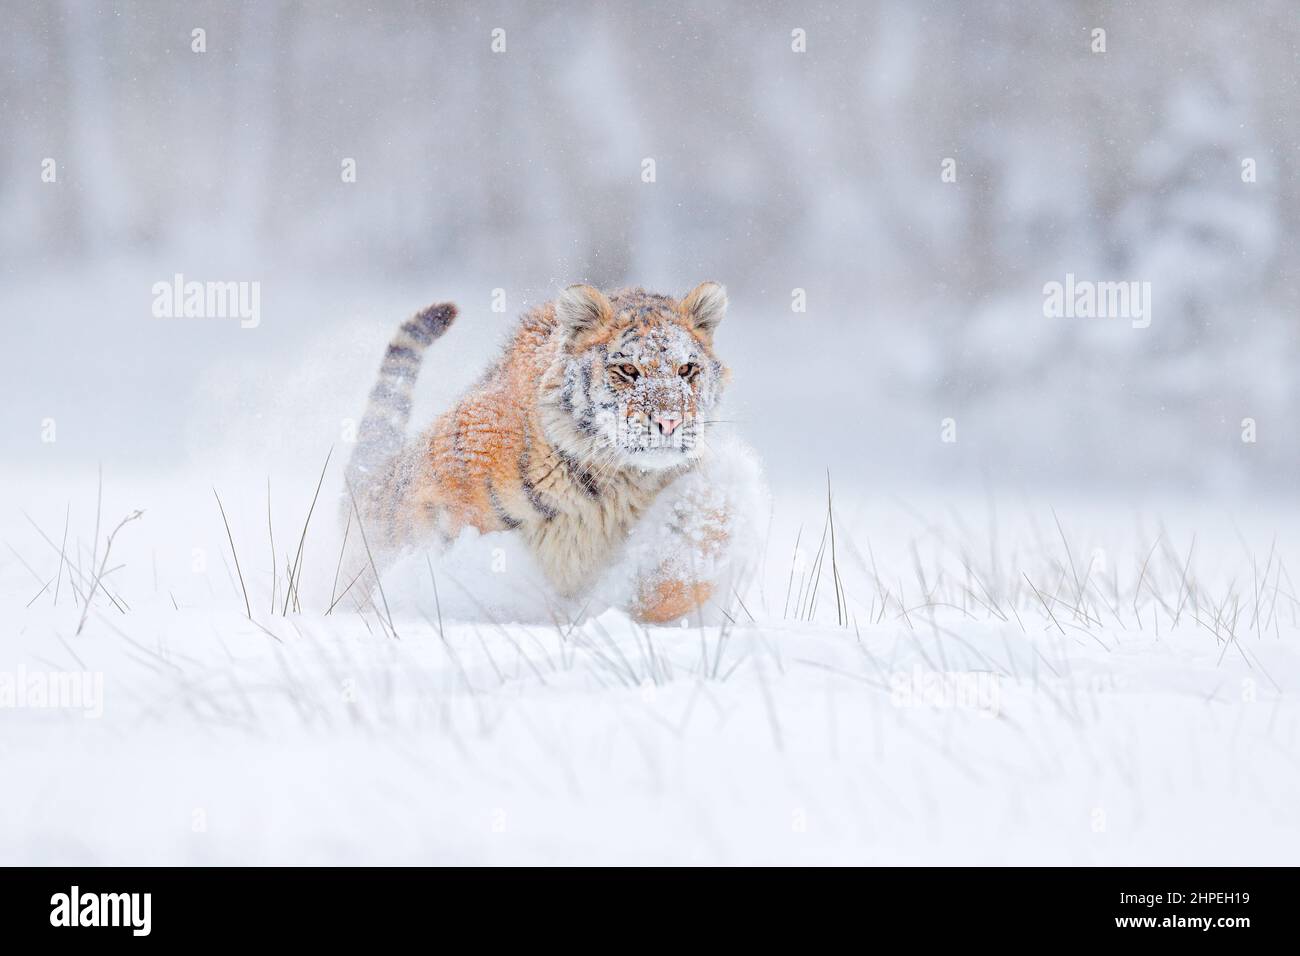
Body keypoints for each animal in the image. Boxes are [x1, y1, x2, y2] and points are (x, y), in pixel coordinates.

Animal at [344, 282, 761, 624]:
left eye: (686, 369)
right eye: (628, 370)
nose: (670, 421)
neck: (618, 479)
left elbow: (698, 544)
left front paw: (637, 604)